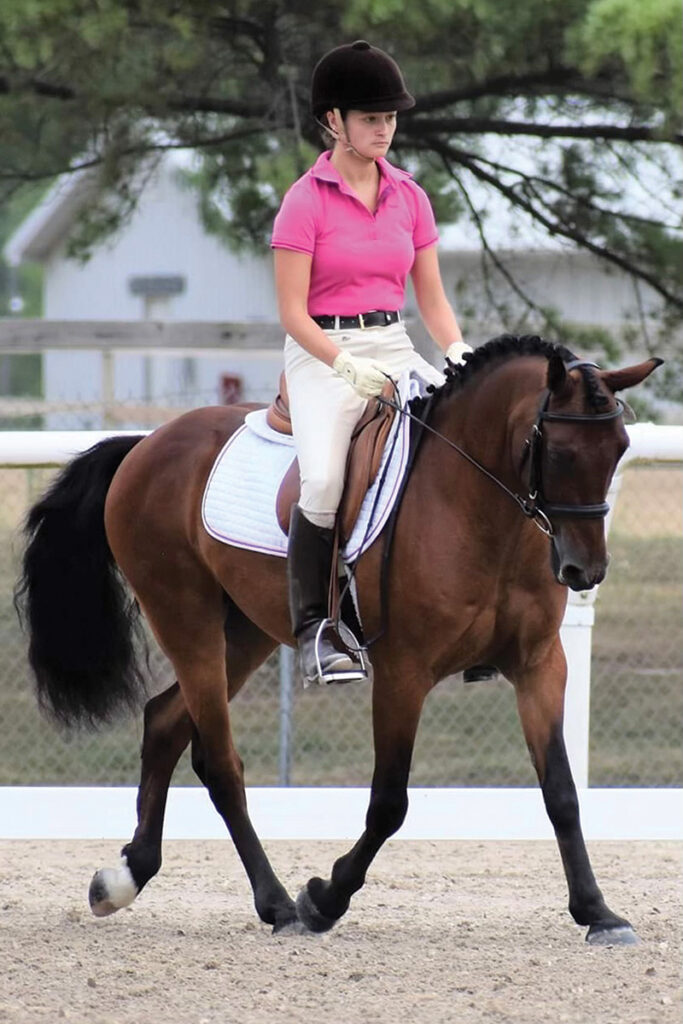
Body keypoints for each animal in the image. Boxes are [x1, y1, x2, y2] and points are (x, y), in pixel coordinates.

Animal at [16, 334, 660, 943]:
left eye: (619, 449)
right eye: (558, 451)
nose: (585, 571)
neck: (477, 506)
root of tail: (148, 443)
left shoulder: (539, 665)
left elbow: (561, 792)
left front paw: (598, 912)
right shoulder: (403, 673)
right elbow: (389, 803)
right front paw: (324, 899)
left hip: (245, 631)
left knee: (167, 721)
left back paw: (125, 878)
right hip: (185, 617)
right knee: (219, 761)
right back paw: (277, 904)